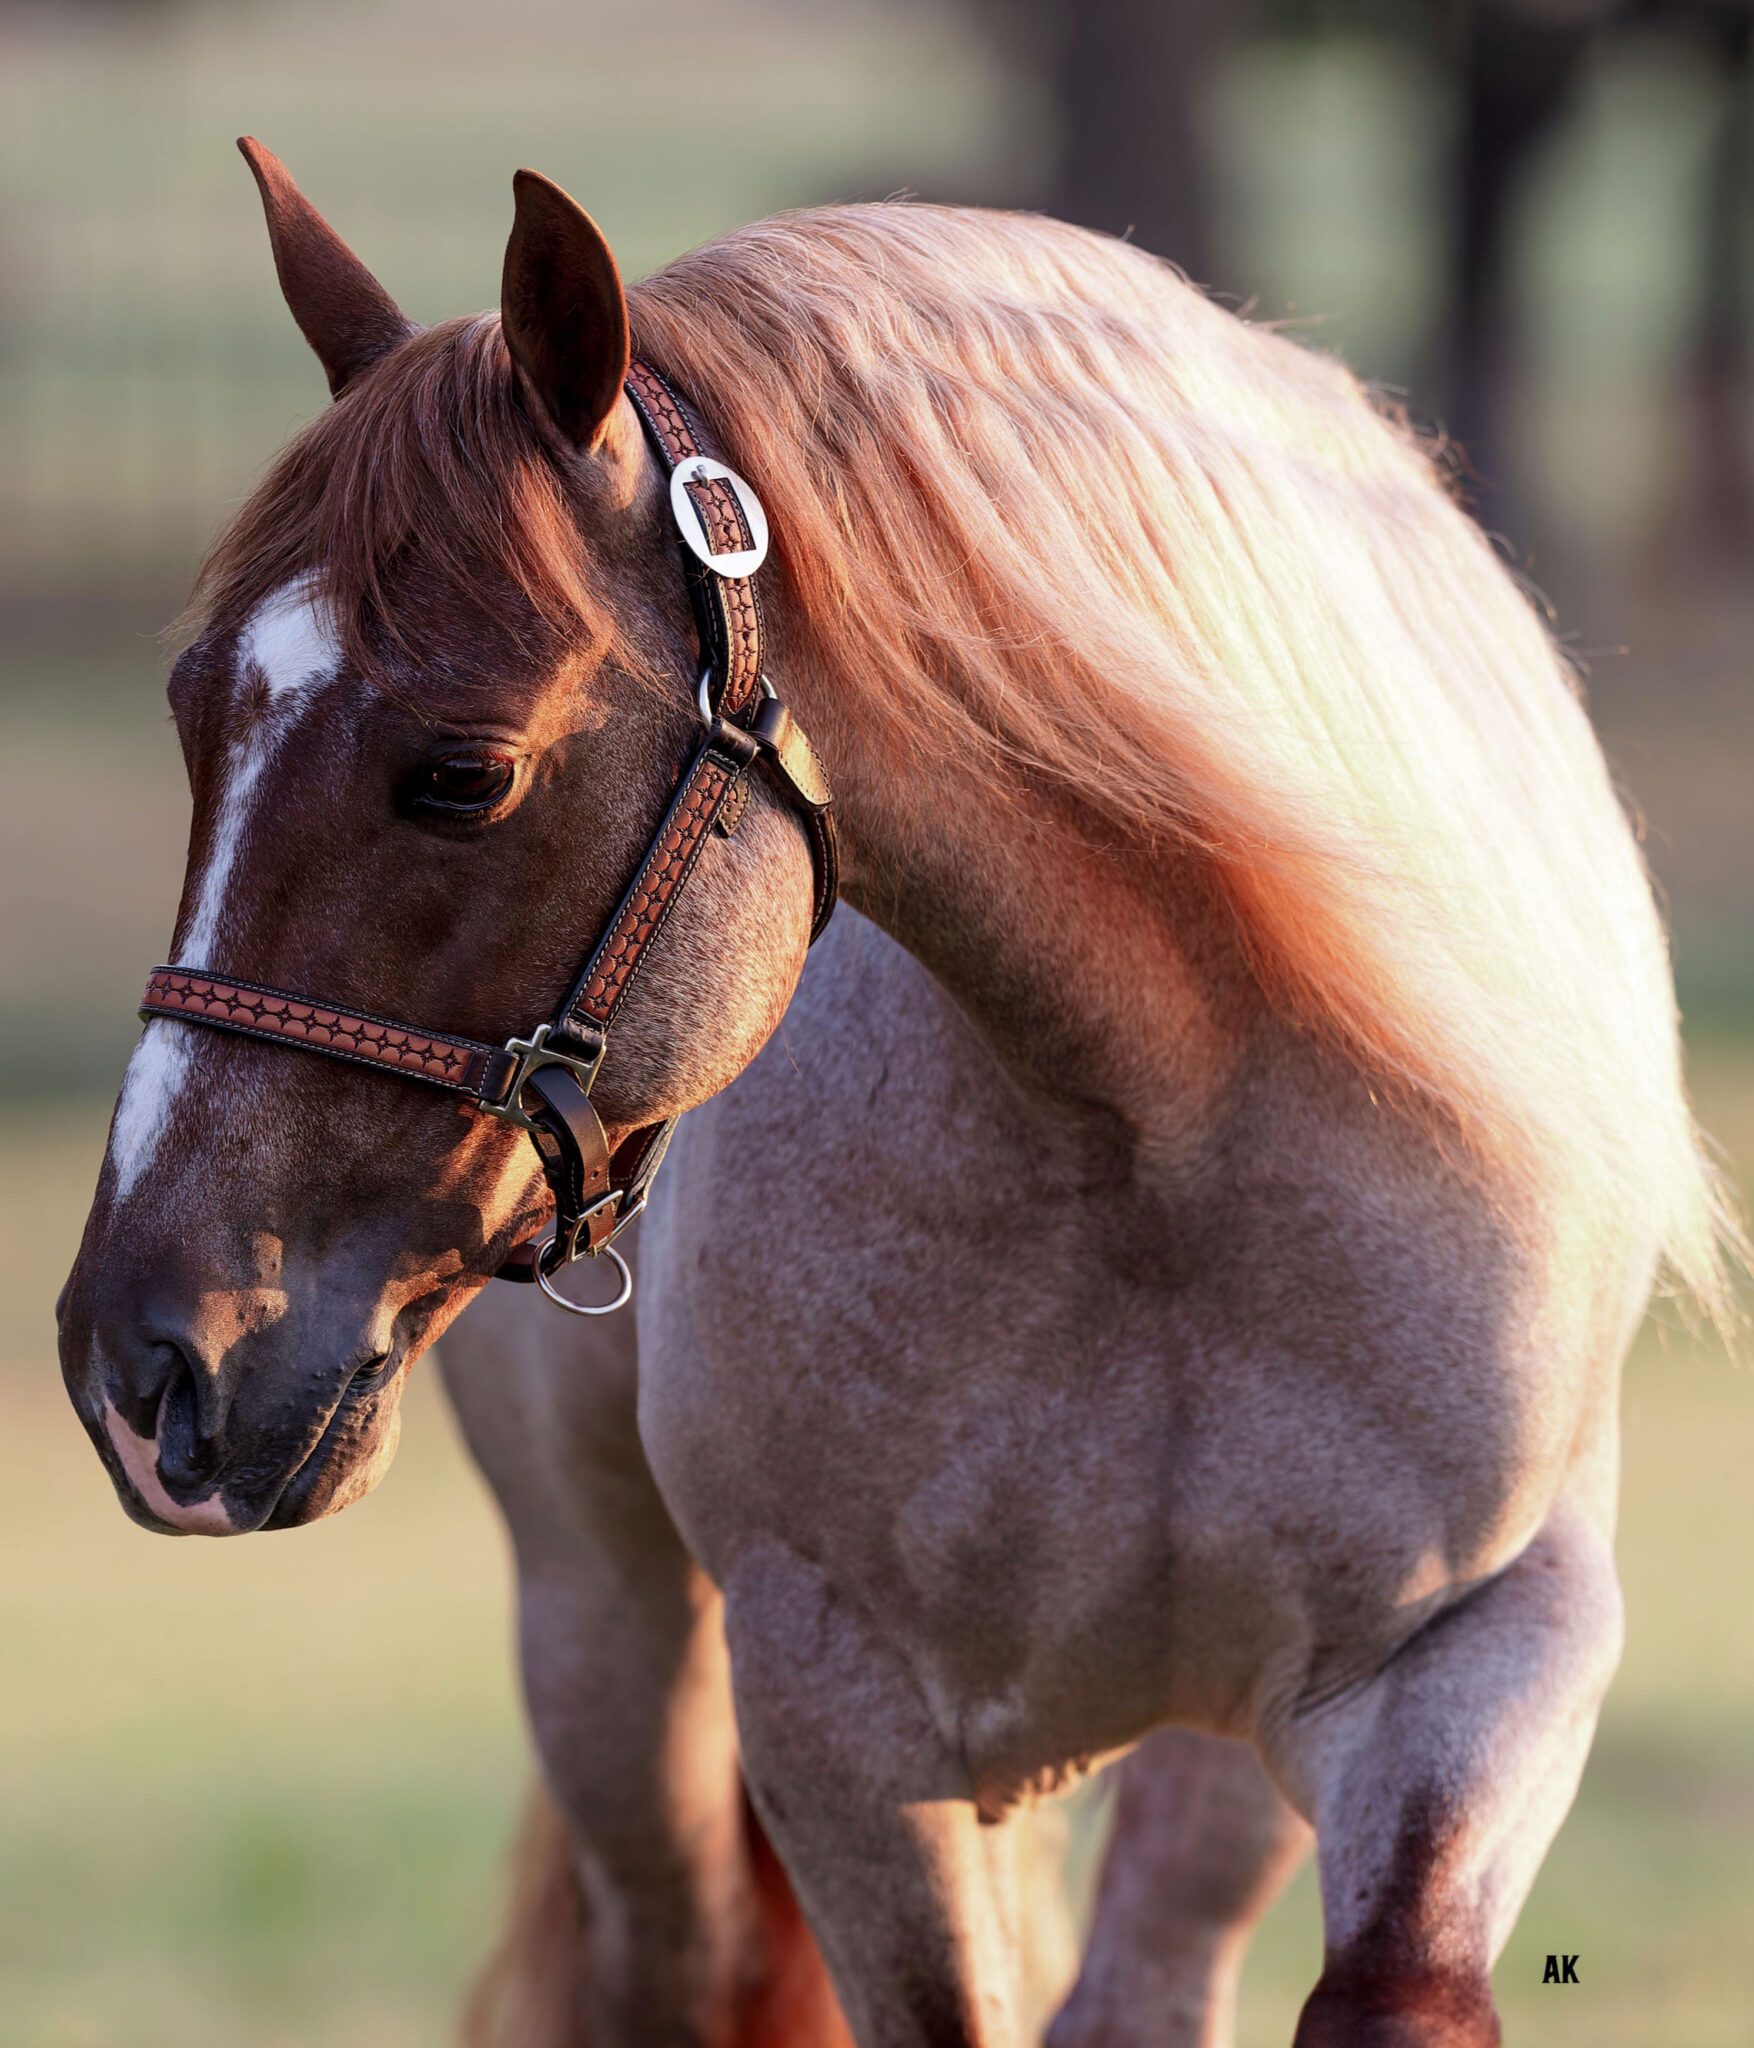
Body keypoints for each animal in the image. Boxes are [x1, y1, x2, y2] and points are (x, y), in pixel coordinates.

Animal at [58, 138, 1735, 2047]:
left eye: (461, 774)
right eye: (194, 712)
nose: (141, 1362)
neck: (1172, 1130)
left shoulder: (1476, 1657)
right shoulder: (841, 1717)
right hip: (604, 1626)